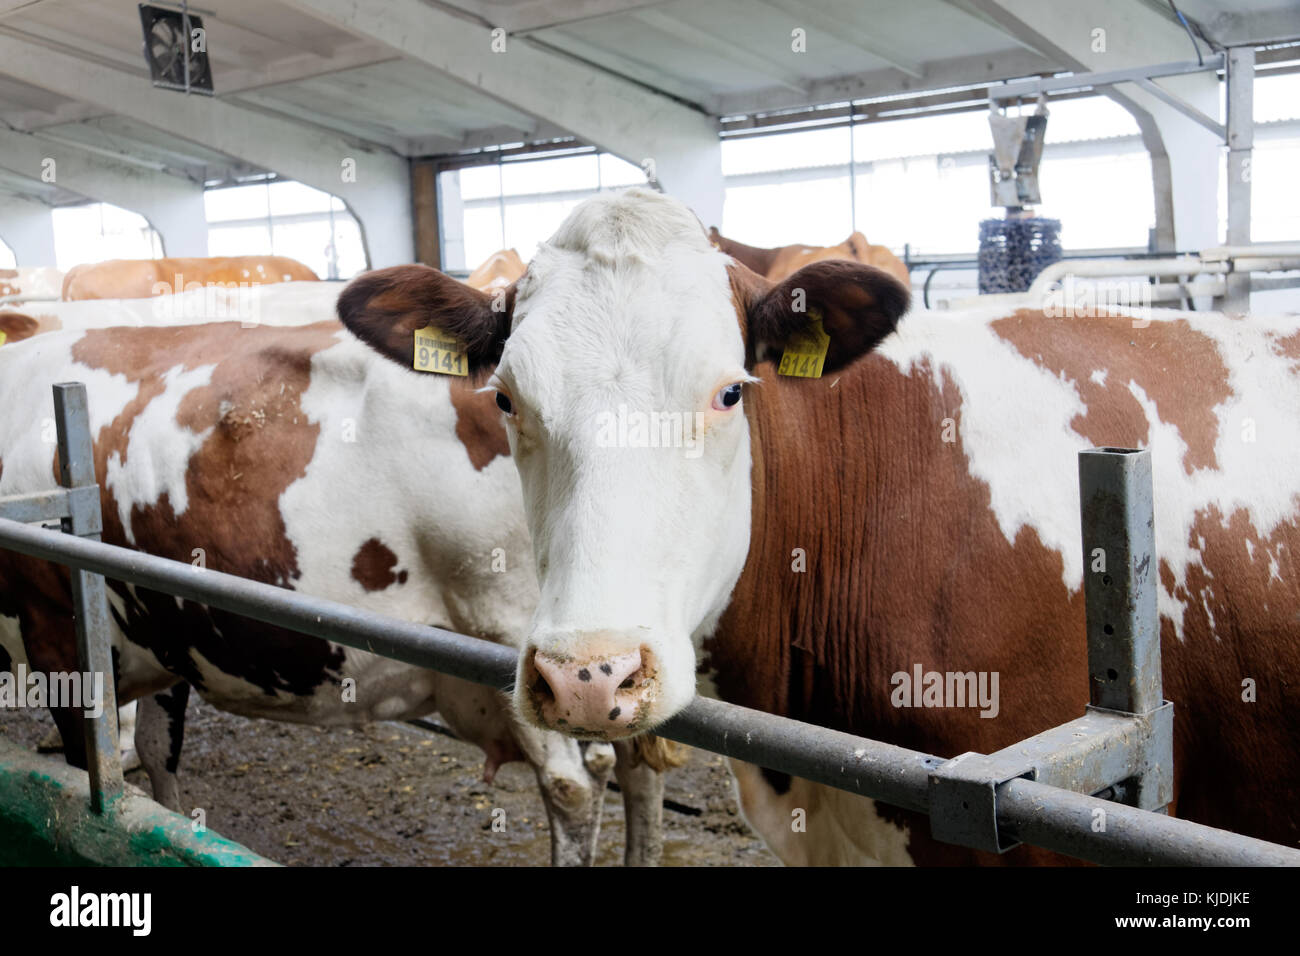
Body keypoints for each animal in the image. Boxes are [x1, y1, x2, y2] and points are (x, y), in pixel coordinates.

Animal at [0, 306, 666, 866]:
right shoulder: (160, 630)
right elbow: (157, 760)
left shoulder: (57, 632)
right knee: (638, 767)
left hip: (524, 643)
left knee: (574, 785)